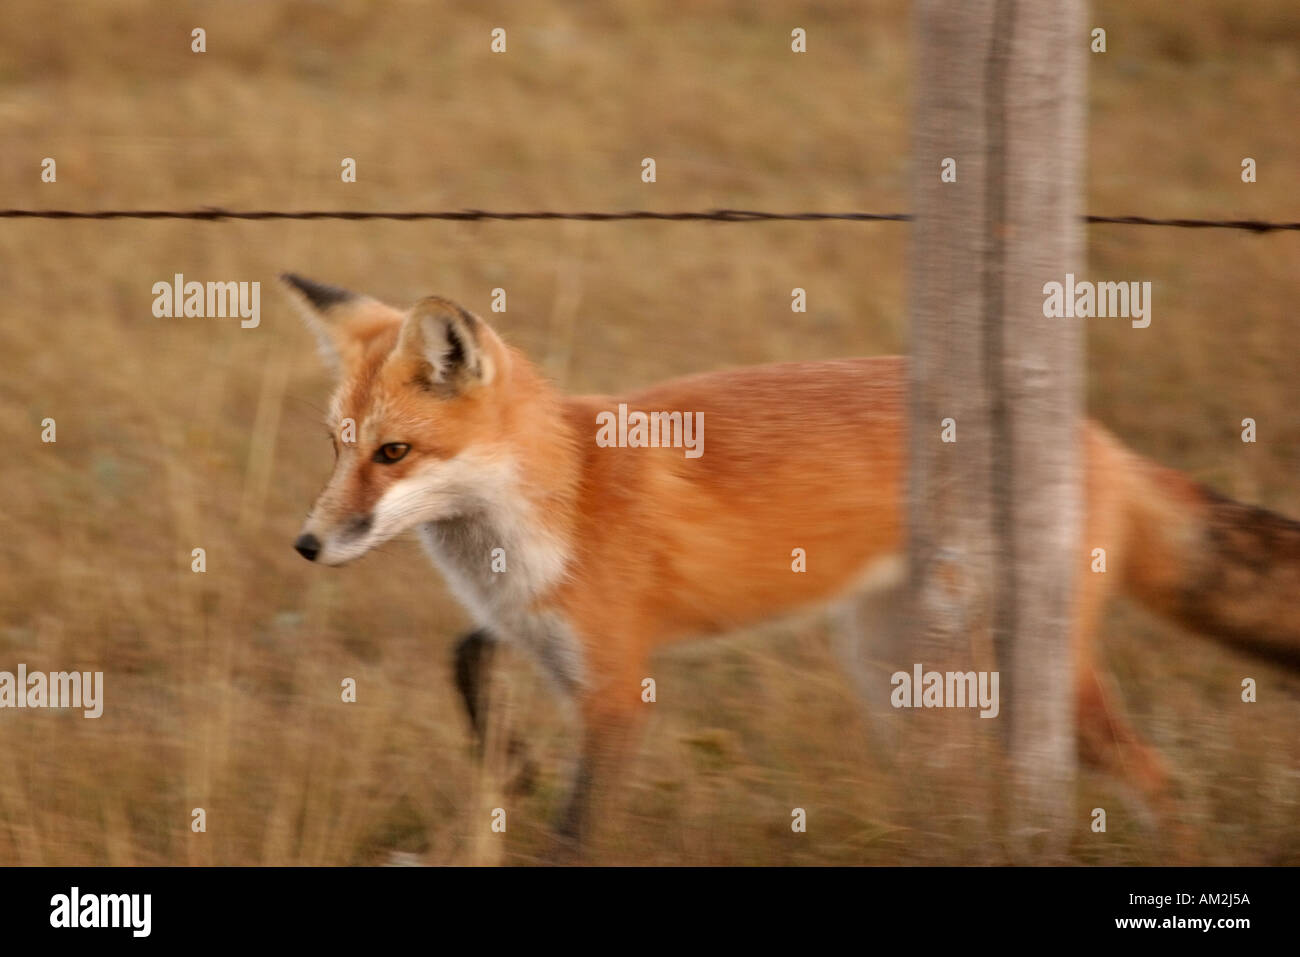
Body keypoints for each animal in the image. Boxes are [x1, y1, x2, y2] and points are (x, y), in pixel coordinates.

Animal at [282, 272, 1300, 848]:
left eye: (393, 453)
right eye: (335, 446)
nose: (307, 544)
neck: (556, 498)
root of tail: (1095, 432)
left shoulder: (619, 689)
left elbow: (575, 832)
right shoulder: (532, 629)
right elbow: (466, 660)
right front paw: (512, 762)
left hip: (1034, 674)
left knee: (1157, 777)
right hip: (899, 670)